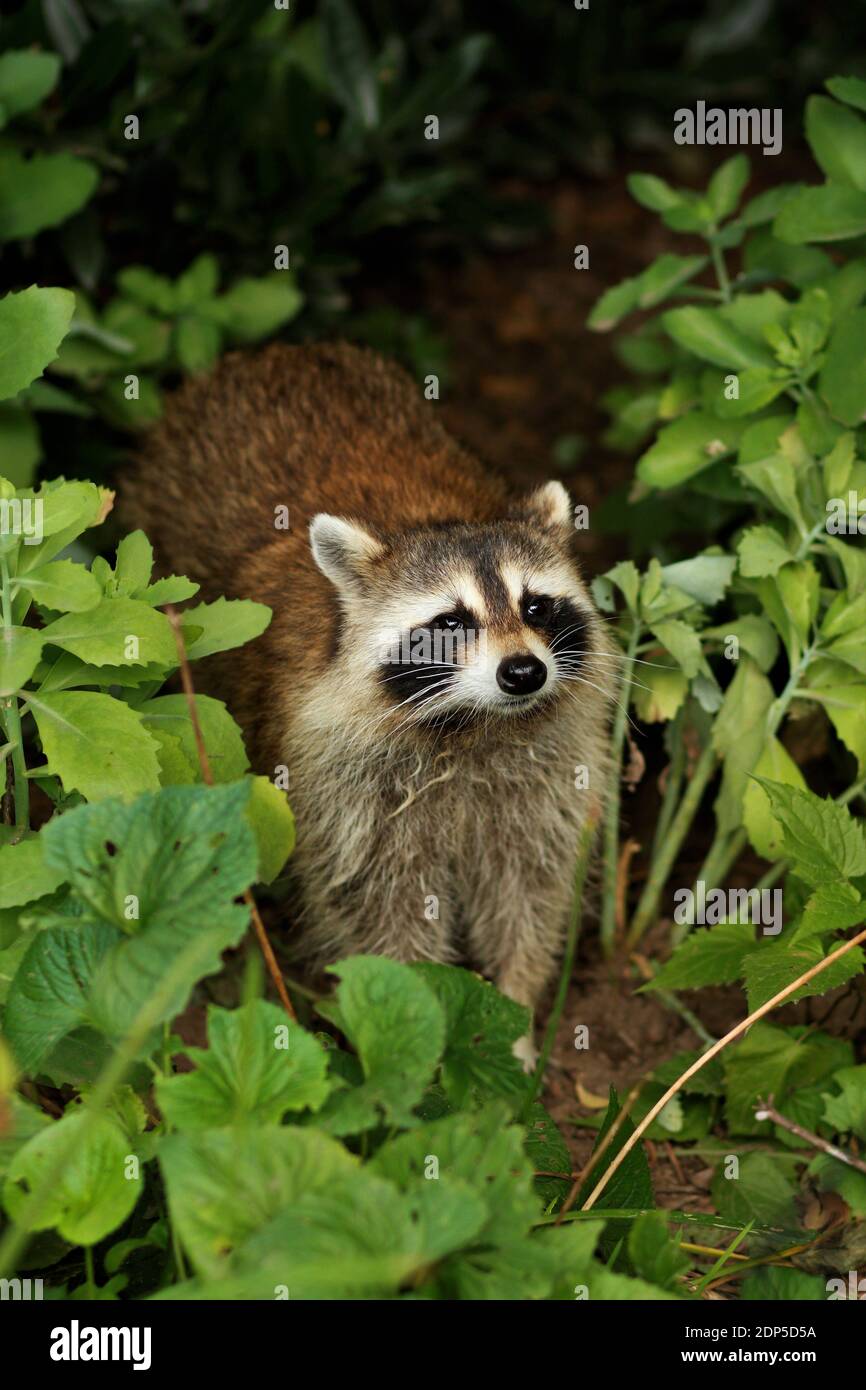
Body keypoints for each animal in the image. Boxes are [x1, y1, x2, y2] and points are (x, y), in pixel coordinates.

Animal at [122, 342, 613, 1064]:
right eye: (450, 622)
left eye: (535, 608)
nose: (523, 673)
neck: (473, 728)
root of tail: (276, 351)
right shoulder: (345, 787)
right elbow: (382, 915)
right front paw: (420, 1034)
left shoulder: (543, 776)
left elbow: (527, 892)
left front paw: (516, 1007)